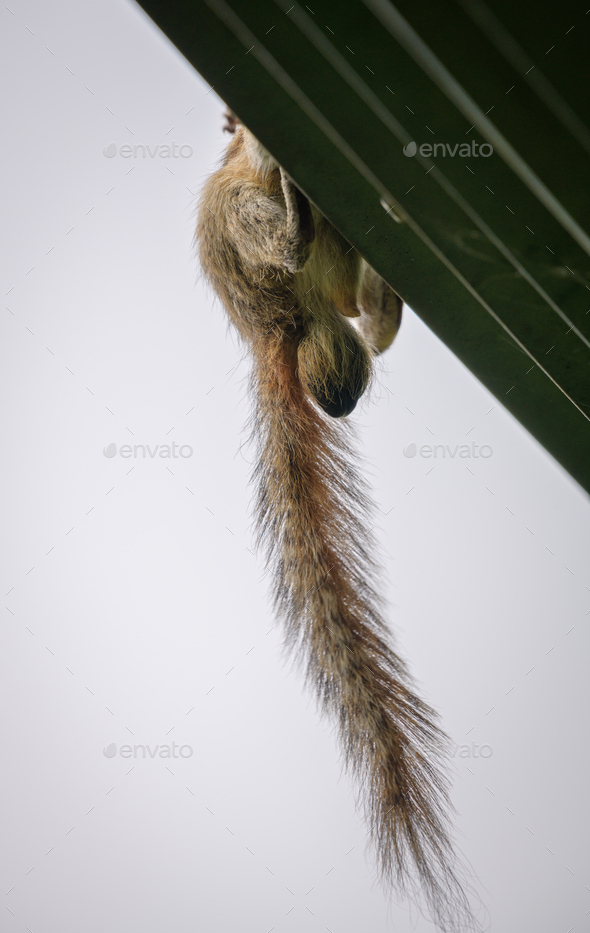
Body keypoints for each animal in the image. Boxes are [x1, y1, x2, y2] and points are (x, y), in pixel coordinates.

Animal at [196, 111, 479, 931]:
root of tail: (270, 332)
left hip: (327, 307)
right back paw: (304, 229)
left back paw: (381, 298)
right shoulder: (246, 166)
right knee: (313, 299)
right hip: (249, 231)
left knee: (356, 345)